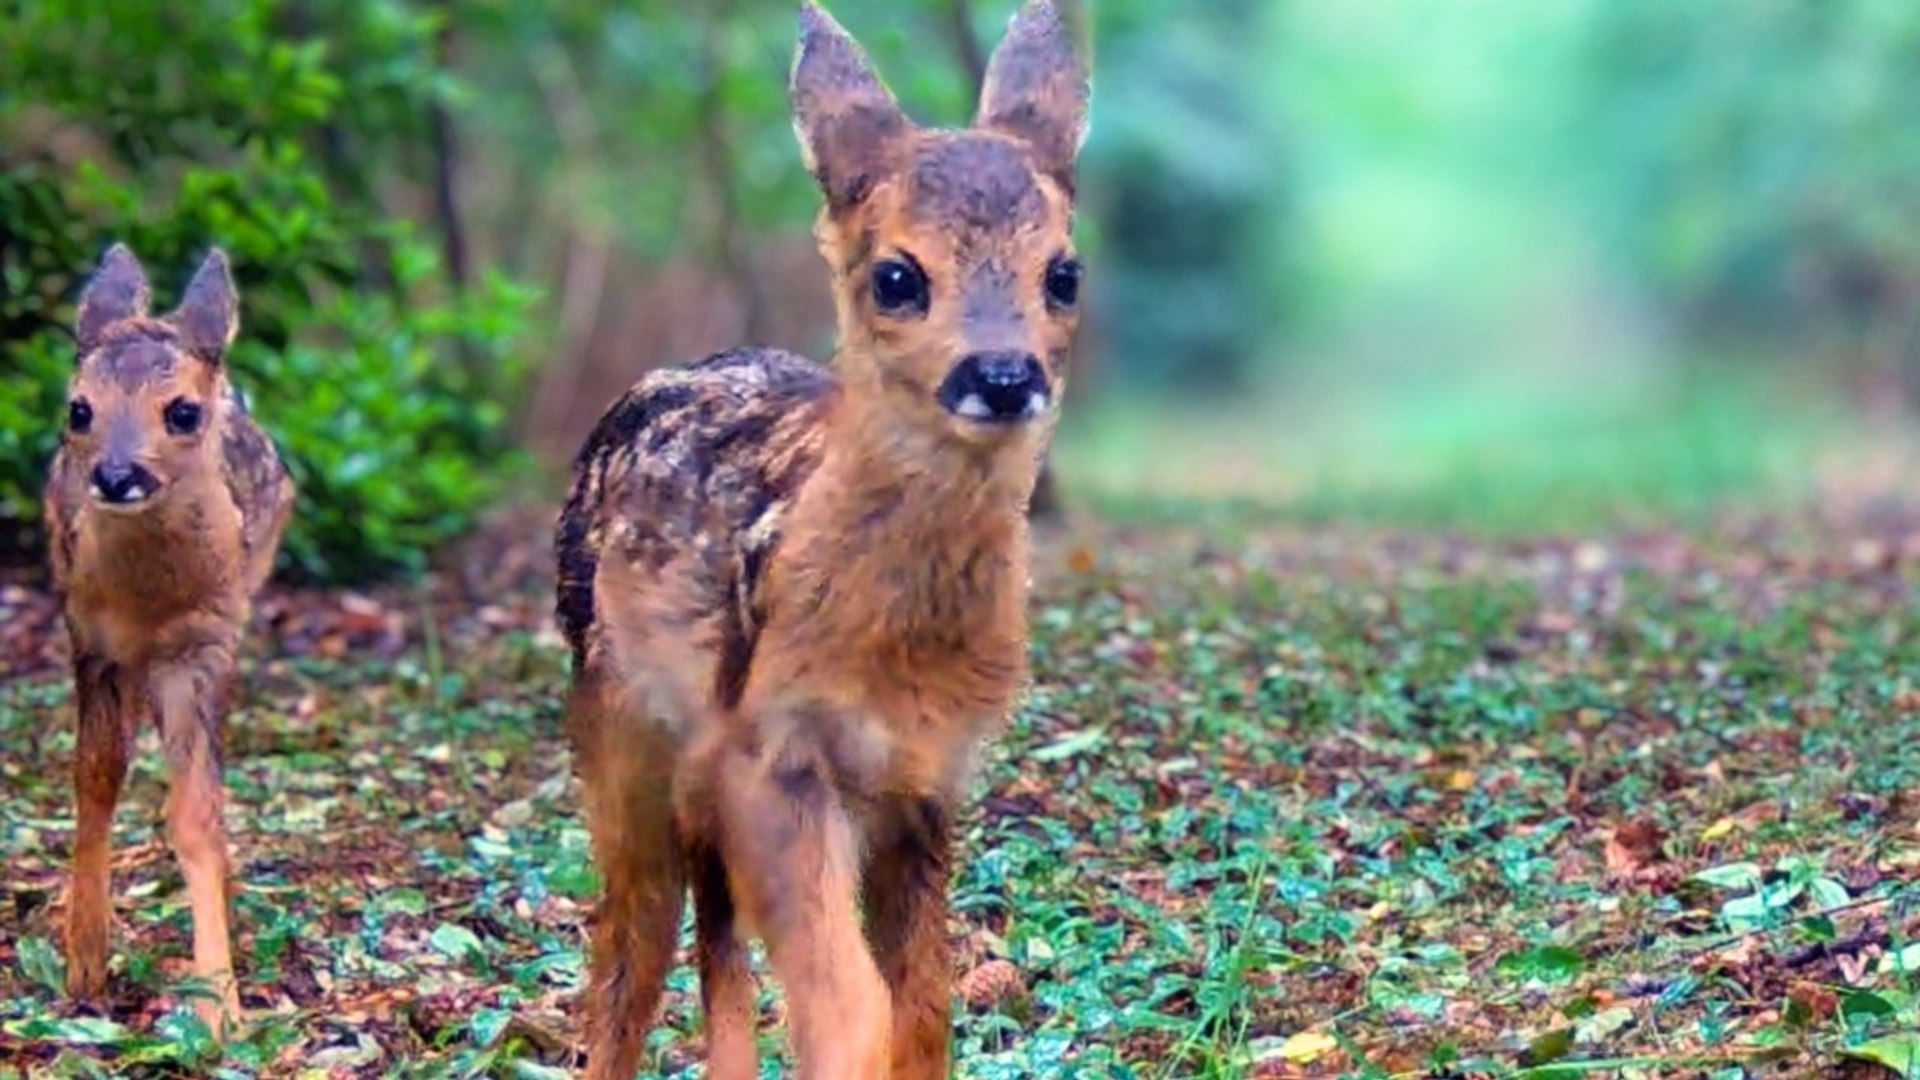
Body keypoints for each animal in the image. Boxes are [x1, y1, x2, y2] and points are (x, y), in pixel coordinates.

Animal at [45, 244, 295, 1038]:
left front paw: (221, 1008)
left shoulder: (204, 645)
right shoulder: (88, 634)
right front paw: (85, 964)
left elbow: (196, 812)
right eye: (79, 408)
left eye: (182, 410)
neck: (147, 601)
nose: (117, 474)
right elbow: (96, 775)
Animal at [552, 2, 1089, 1076]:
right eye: (897, 275)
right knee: (630, 946)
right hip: (619, 728)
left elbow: (922, 1010)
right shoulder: (770, 755)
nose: (1003, 375)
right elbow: (850, 1007)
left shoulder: (926, 781)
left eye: (1064, 272)